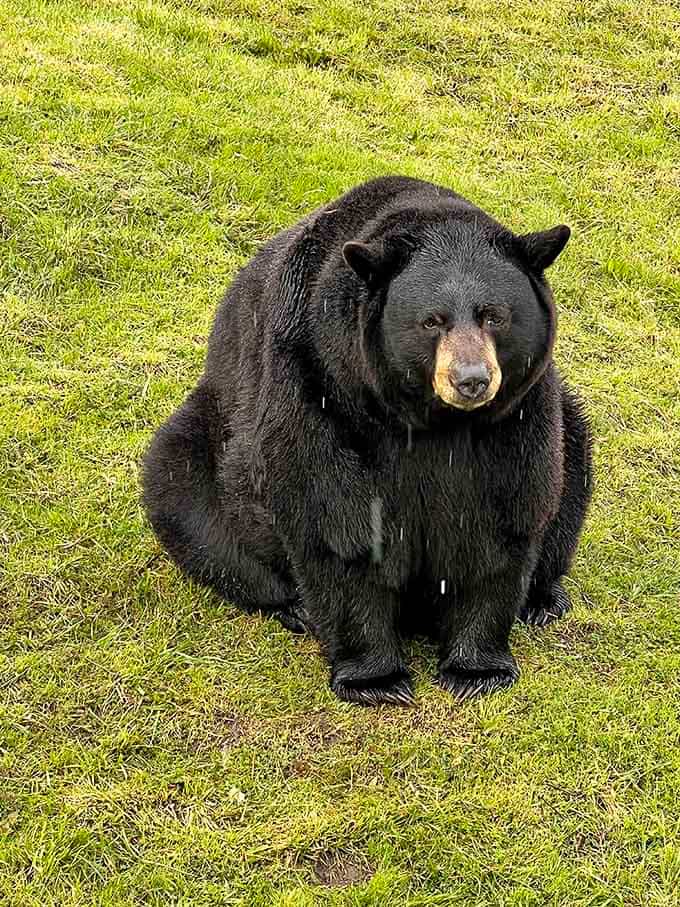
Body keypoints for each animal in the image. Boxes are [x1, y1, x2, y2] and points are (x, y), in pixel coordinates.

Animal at [142, 175, 592, 706]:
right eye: (432, 320)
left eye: (493, 317)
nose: (471, 380)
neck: (432, 420)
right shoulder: (318, 382)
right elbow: (336, 520)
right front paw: (377, 681)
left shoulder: (516, 414)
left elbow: (508, 513)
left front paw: (477, 670)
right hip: (203, 447)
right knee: (190, 506)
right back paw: (293, 607)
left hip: (571, 426)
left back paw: (543, 600)